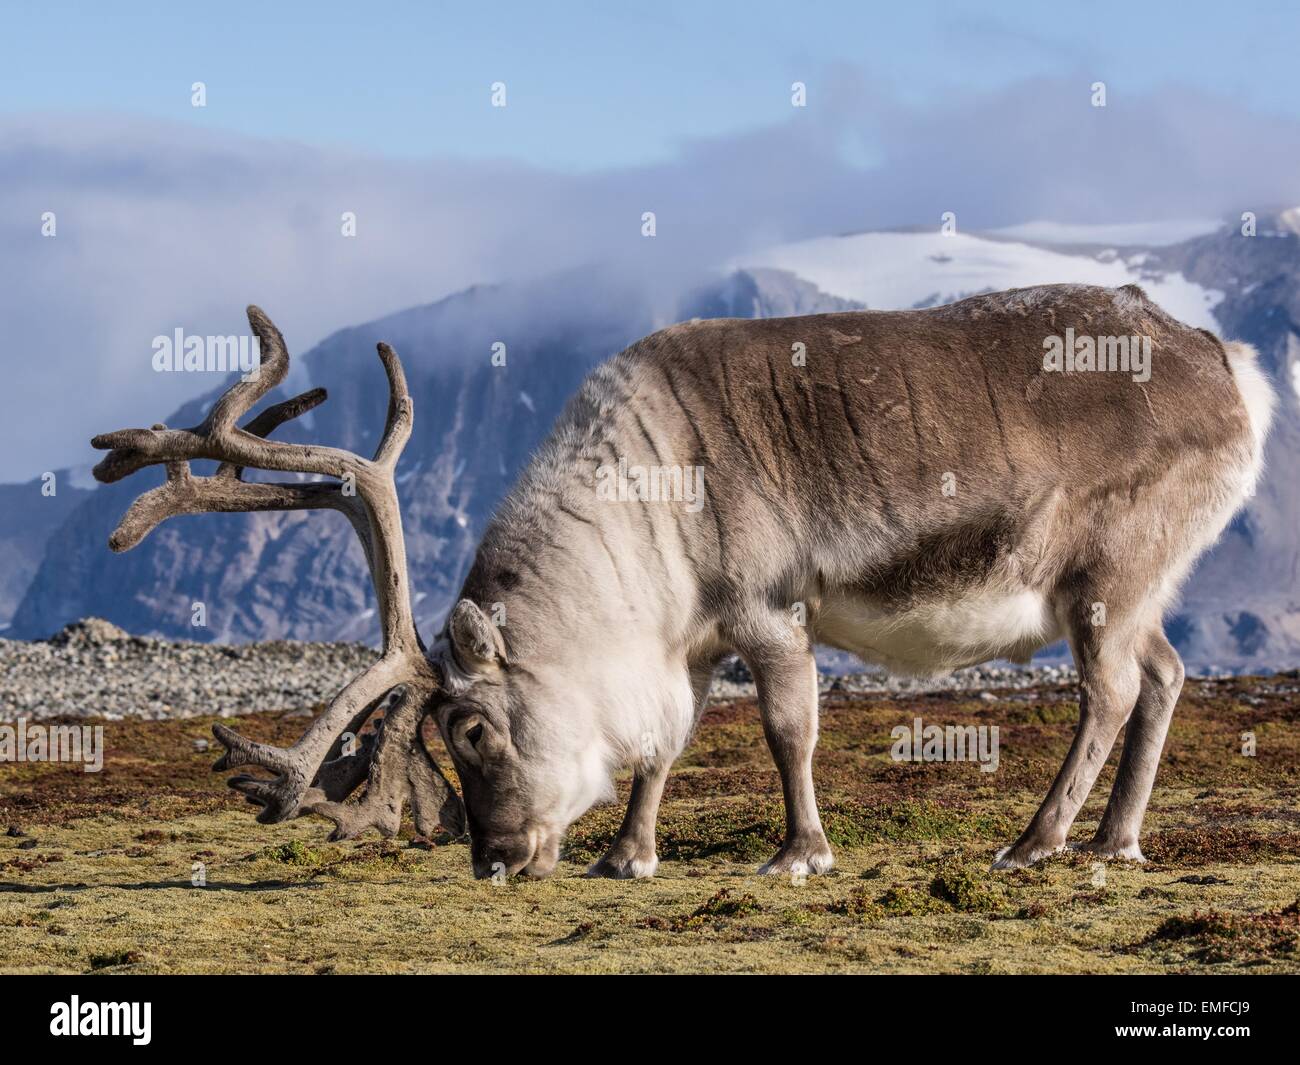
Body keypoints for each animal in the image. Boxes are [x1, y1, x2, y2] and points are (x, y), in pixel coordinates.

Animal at [92, 284, 1275, 879]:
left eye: (468, 729)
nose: (495, 859)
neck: (646, 499)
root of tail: (1230, 366)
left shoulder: (769, 608)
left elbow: (787, 731)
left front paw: (799, 853)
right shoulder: (687, 639)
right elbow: (665, 743)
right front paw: (629, 854)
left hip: (1104, 575)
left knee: (1110, 689)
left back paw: (1035, 841)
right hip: (1135, 586)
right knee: (1166, 676)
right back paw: (1116, 840)